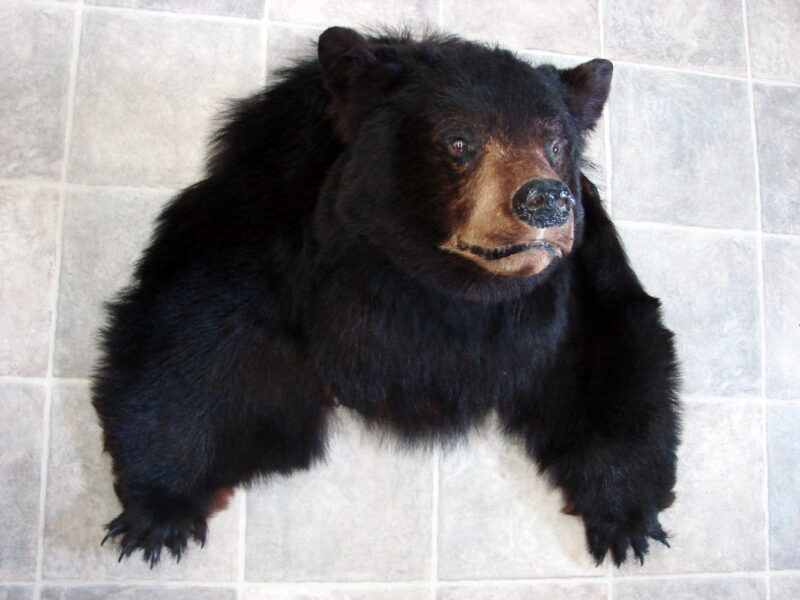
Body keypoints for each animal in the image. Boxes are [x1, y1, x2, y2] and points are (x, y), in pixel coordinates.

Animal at [92, 26, 680, 569]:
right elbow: (193, 340)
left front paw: (627, 521)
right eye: (458, 141)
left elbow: (614, 354)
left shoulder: (578, 279)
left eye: (557, 145)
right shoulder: (262, 224)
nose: (546, 199)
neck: (433, 283)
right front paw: (159, 514)